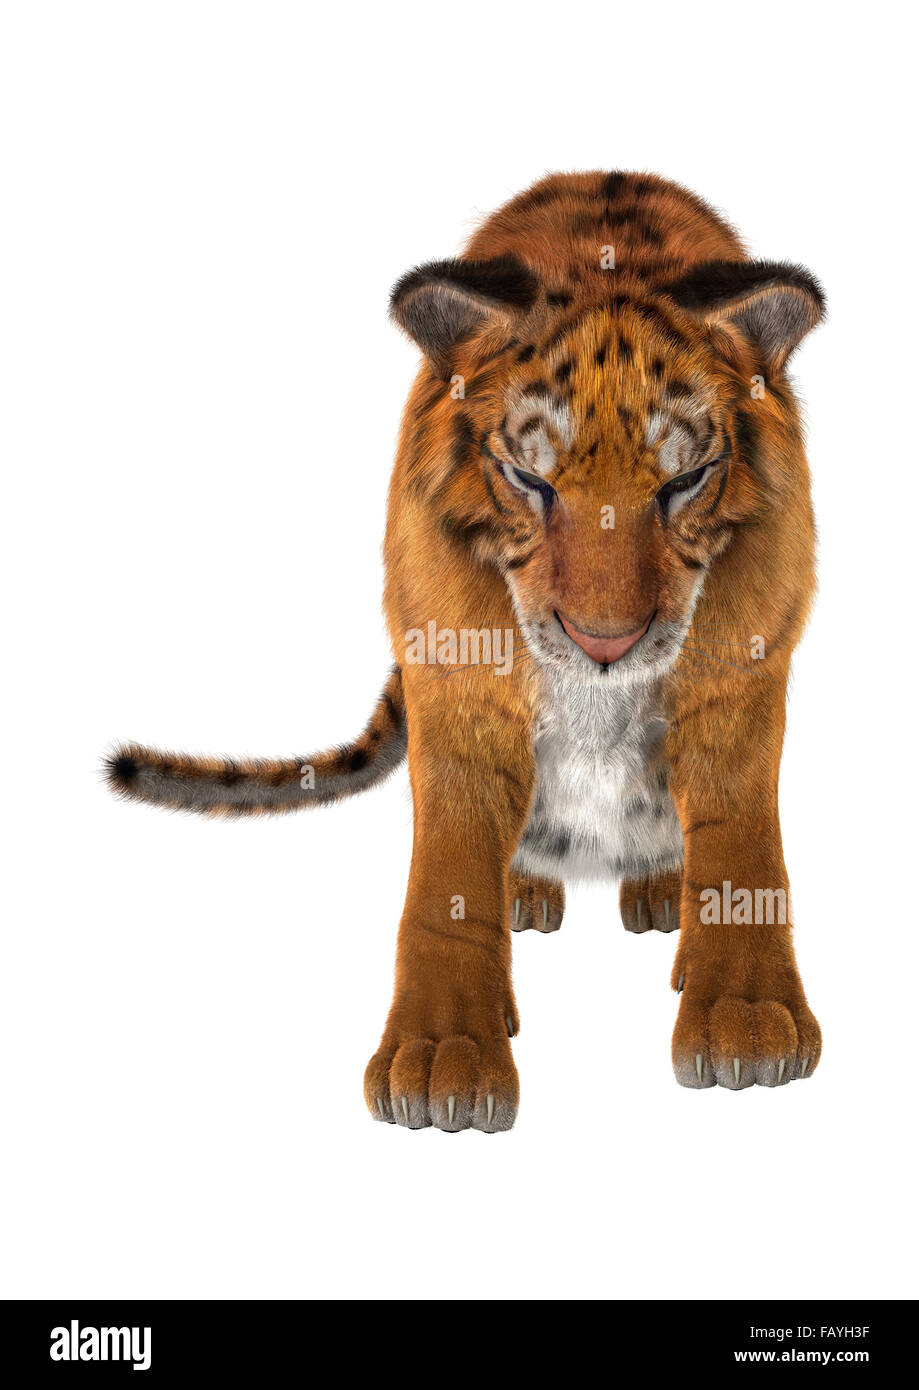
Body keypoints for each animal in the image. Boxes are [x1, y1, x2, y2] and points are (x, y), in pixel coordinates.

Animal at [107, 170, 825, 1132]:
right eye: (529, 480)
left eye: (681, 482)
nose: (604, 644)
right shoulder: (456, 685)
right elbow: (446, 878)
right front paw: (442, 1056)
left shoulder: (739, 676)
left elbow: (741, 844)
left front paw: (748, 1020)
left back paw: (655, 894)